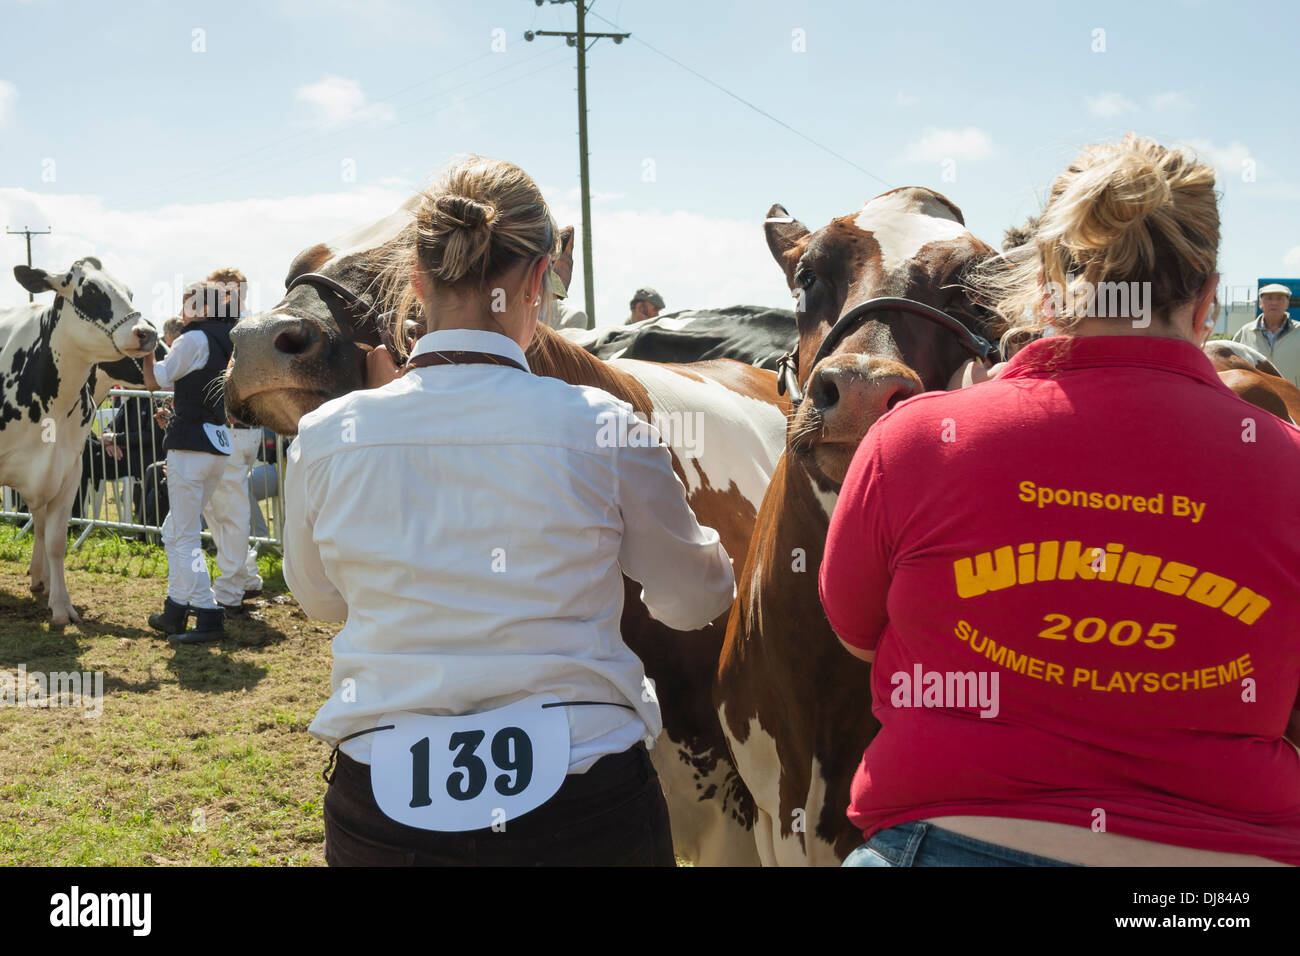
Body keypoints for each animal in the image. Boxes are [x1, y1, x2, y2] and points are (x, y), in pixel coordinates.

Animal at [1, 258, 159, 625]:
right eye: (91, 291)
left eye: (129, 292)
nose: (149, 334)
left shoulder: (69, 470)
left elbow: (55, 539)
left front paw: (60, 605)